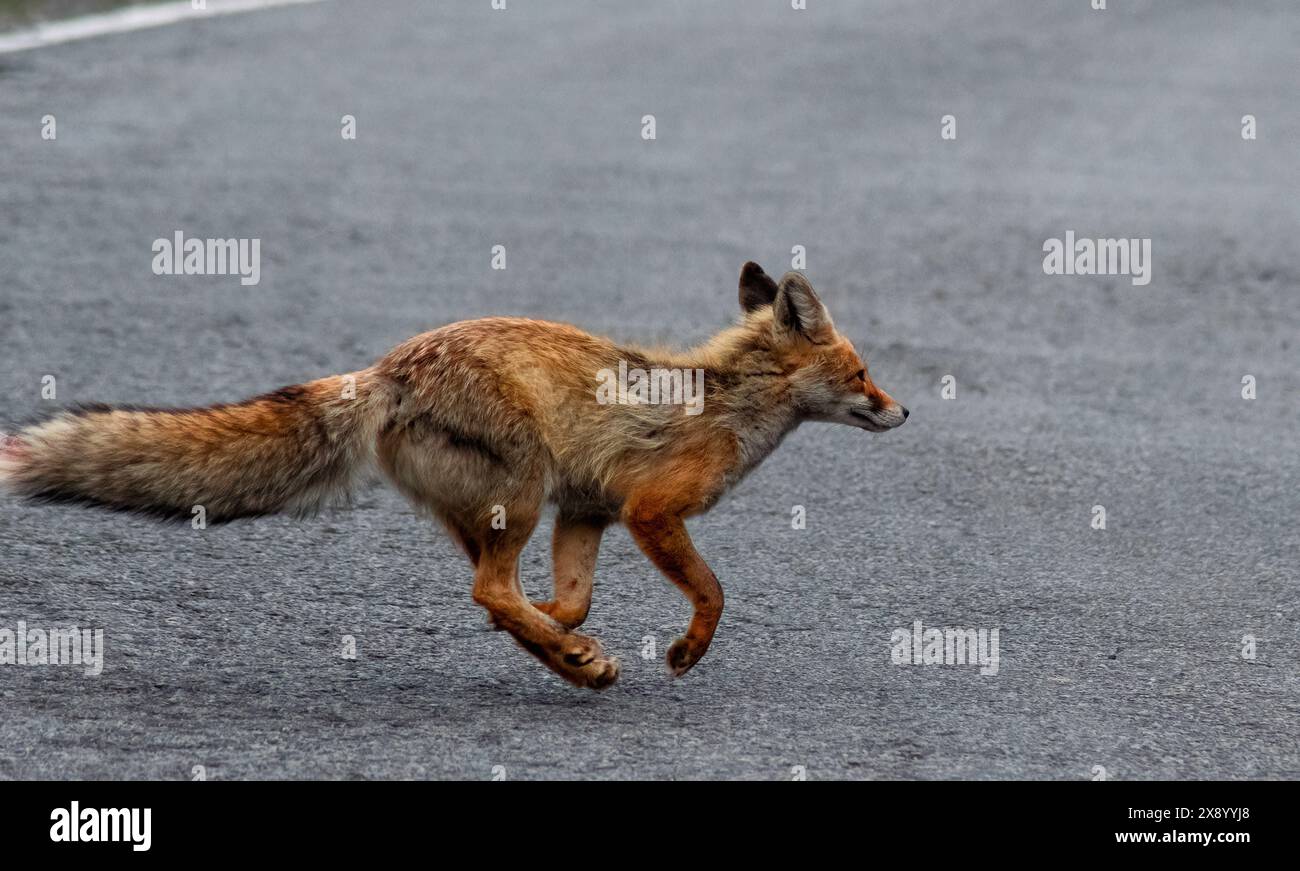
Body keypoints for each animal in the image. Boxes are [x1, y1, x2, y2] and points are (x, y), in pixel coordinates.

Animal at [0, 263, 907, 689]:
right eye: (863, 373)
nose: (902, 412)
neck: (725, 404)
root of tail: (385, 367)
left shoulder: (588, 512)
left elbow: (574, 598)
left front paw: (567, 635)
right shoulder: (651, 510)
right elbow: (713, 593)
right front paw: (683, 650)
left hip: (511, 506)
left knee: (492, 592)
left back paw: (570, 658)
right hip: (525, 490)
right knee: (488, 589)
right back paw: (571, 658)